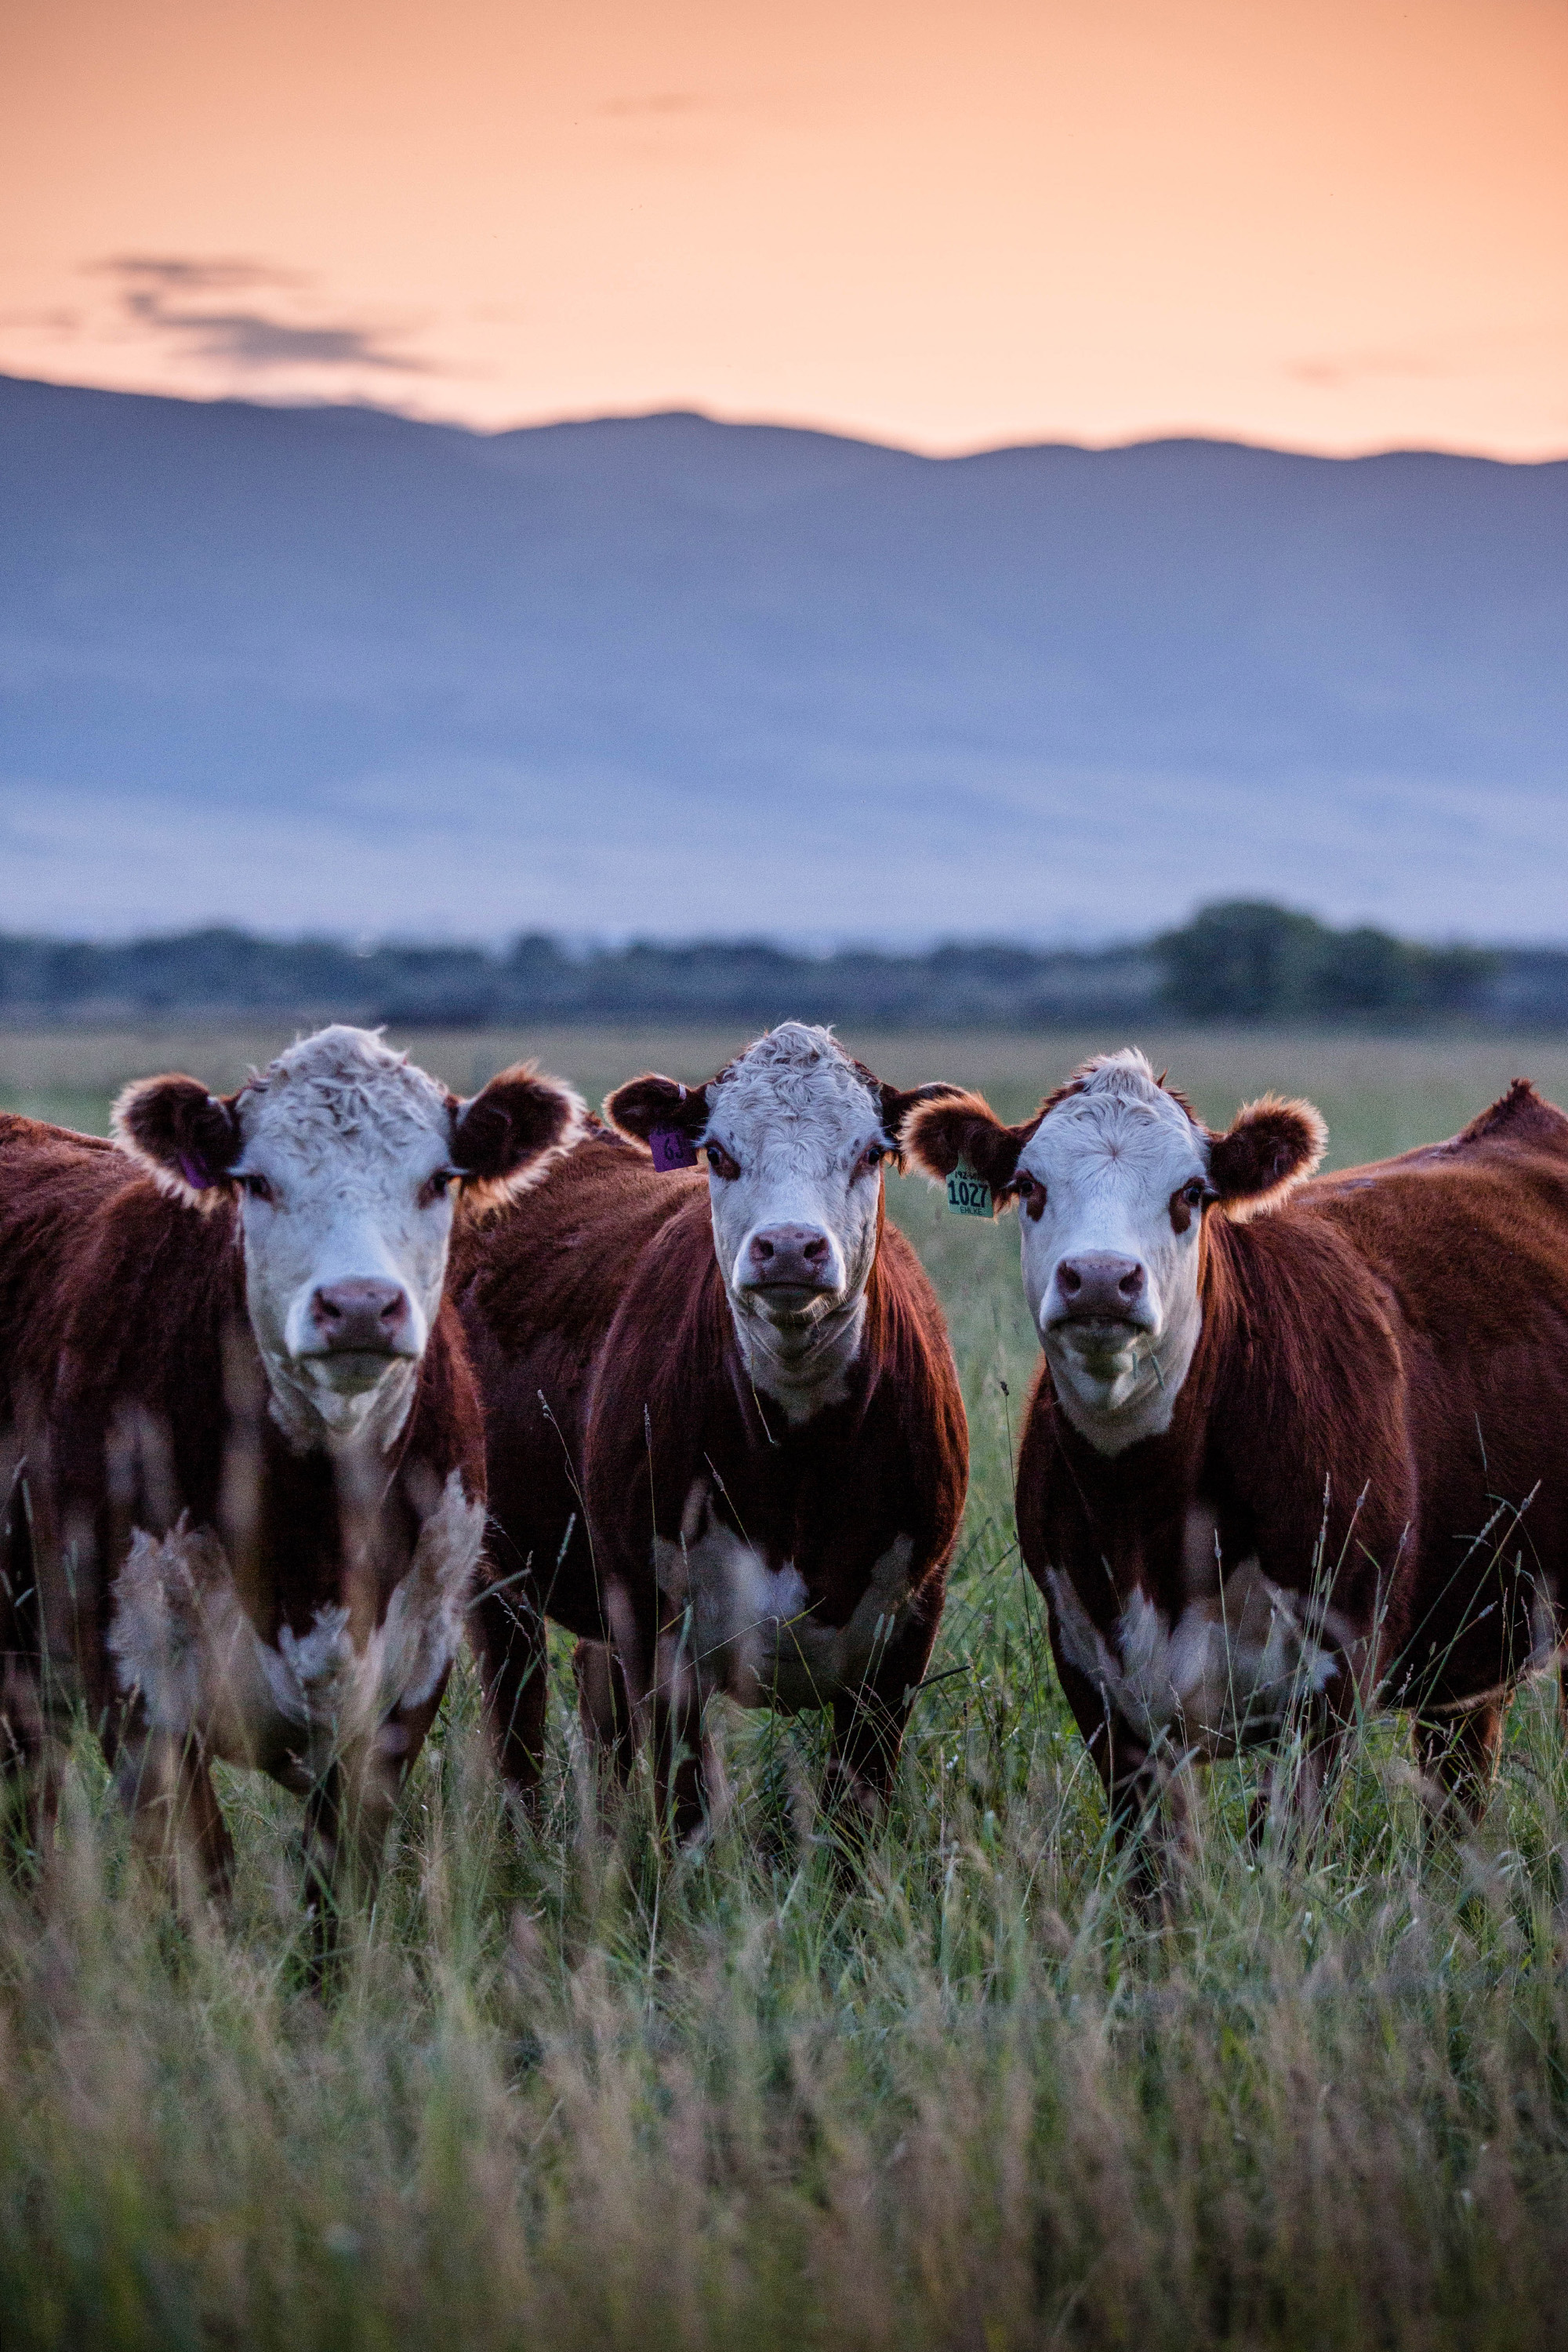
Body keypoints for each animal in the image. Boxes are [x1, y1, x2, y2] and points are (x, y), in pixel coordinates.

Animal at [0, 1025, 581, 1926]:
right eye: (259, 1182)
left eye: (437, 1179)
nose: (358, 1303)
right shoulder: (138, 1695)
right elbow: (203, 1893)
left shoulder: (406, 1686)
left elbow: (334, 1897)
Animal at [451, 1021, 969, 1846]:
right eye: (719, 1153)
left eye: (869, 1152)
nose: (789, 1246)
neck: (798, 1464)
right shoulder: (655, 1625)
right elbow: (687, 1809)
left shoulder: (908, 1630)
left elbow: (855, 1815)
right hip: (498, 1567)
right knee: (517, 1722)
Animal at [904, 1050, 1568, 1864]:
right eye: (1030, 1185)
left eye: (1192, 1192)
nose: (1100, 1277)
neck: (1146, 1520)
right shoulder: (1095, 1678)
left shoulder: (1334, 1670)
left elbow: (1284, 1846)